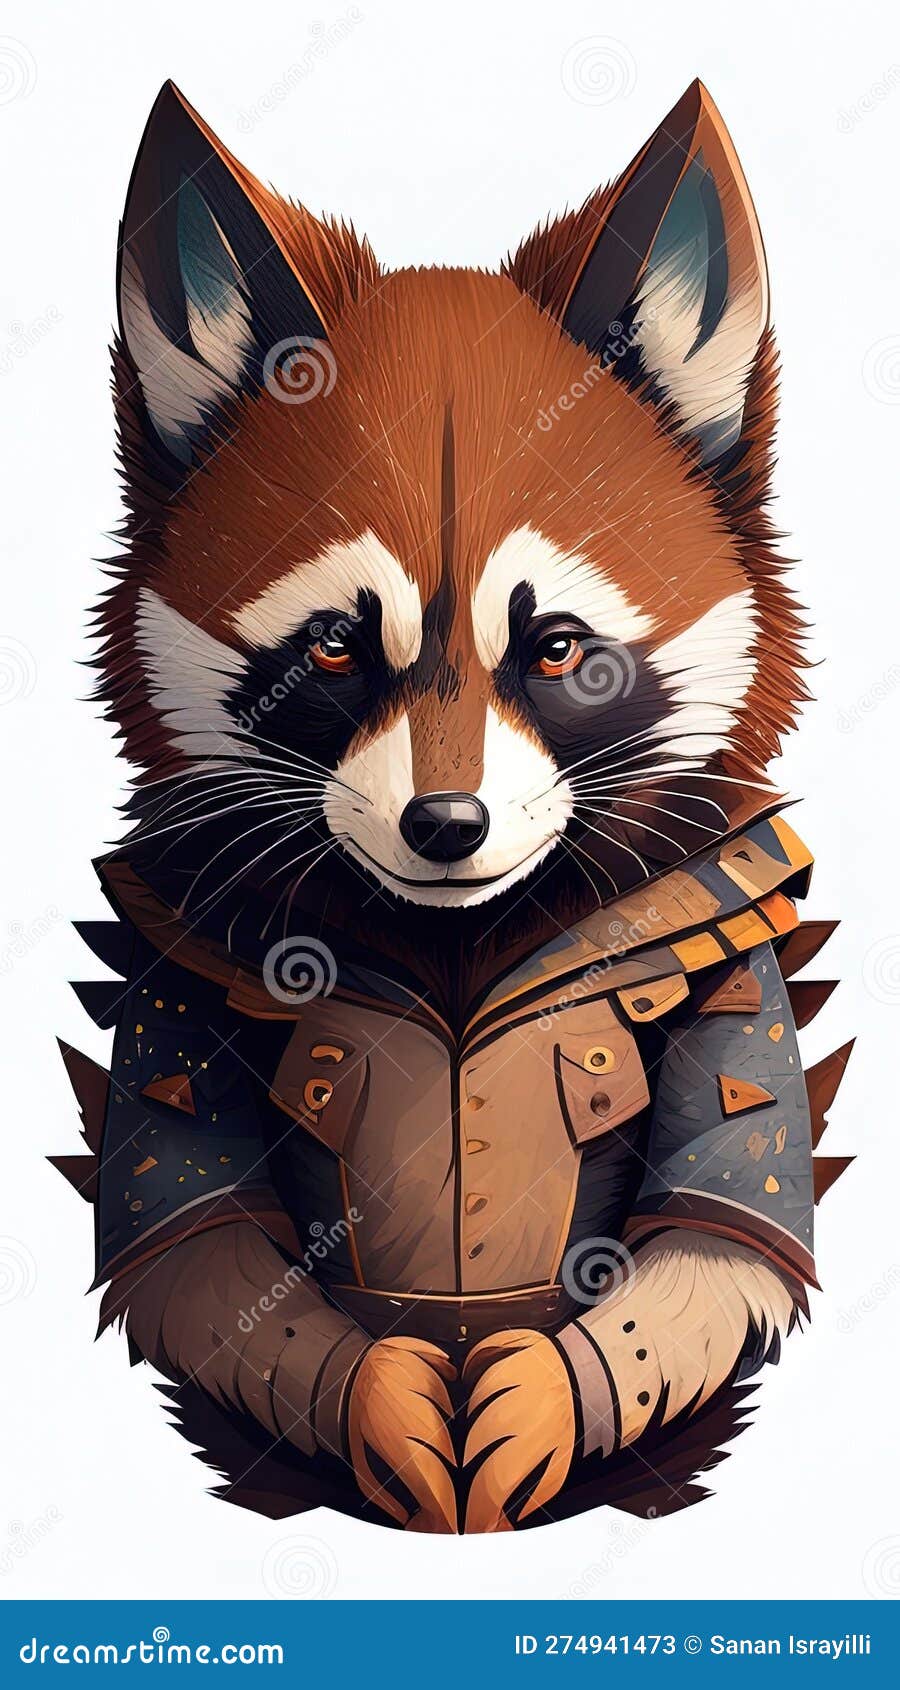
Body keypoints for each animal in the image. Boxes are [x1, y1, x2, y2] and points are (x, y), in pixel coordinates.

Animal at [55, 77, 853, 1533]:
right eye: (331, 646)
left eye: (557, 648)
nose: (445, 828)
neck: (455, 939)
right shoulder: (176, 955)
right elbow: (192, 1222)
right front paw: (373, 1395)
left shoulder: (734, 947)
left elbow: (726, 1220)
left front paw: (547, 1392)